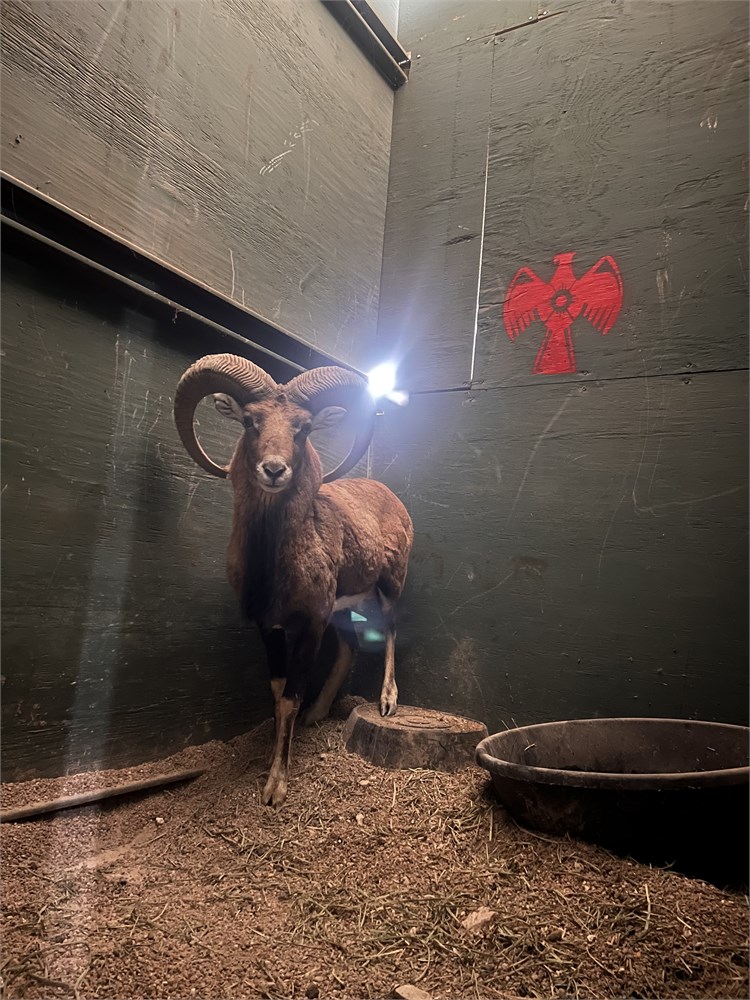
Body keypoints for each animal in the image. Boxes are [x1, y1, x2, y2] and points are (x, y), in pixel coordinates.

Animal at [174, 354, 413, 806]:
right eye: (250, 421)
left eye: (303, 428)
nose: (273, 469)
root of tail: (394, 499)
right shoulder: (270, 628)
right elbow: (278, 693)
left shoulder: (310, 625)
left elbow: (290, 697)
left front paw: (276, 787)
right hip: (345, 608)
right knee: (350, 647)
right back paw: (317, 715)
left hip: (391, 585)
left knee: (391, 629)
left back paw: (387, 702)